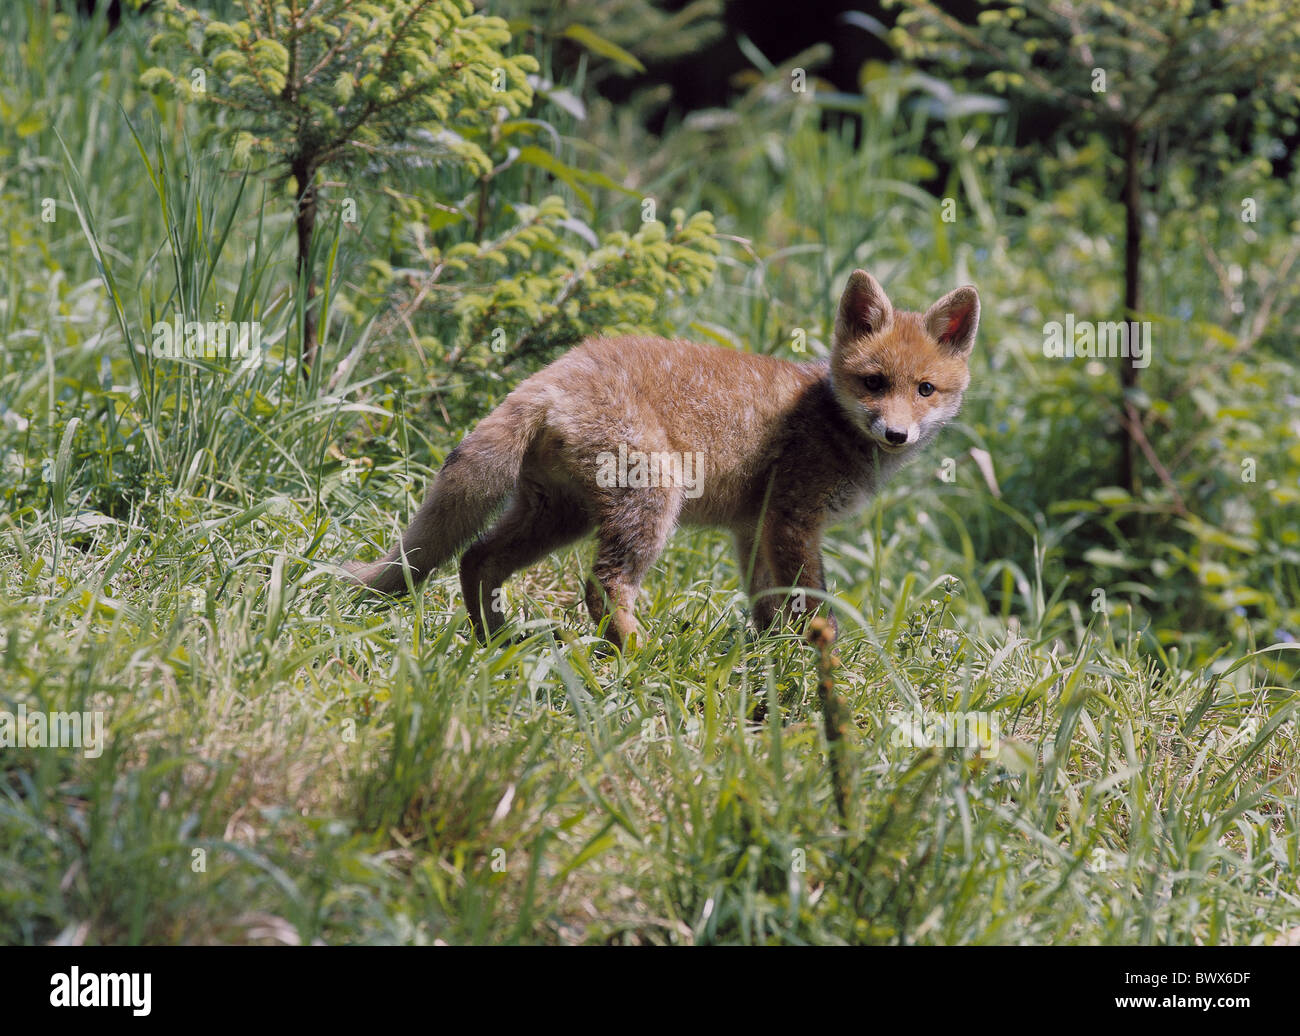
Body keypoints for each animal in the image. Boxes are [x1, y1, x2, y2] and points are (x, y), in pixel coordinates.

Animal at [344, 269, 979, 649]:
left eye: (925, 389)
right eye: (874, 382)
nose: (896, 433)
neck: (826, 415)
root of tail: (551, 376)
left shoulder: (755, 528)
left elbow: (766, 604)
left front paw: (773, 658)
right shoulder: (793, 519)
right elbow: (811, 603)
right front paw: (818, 665)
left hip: (560, 516)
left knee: (477, 559)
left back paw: (497, 641)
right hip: (650, 502)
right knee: (600, 585)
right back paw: (642, 658)